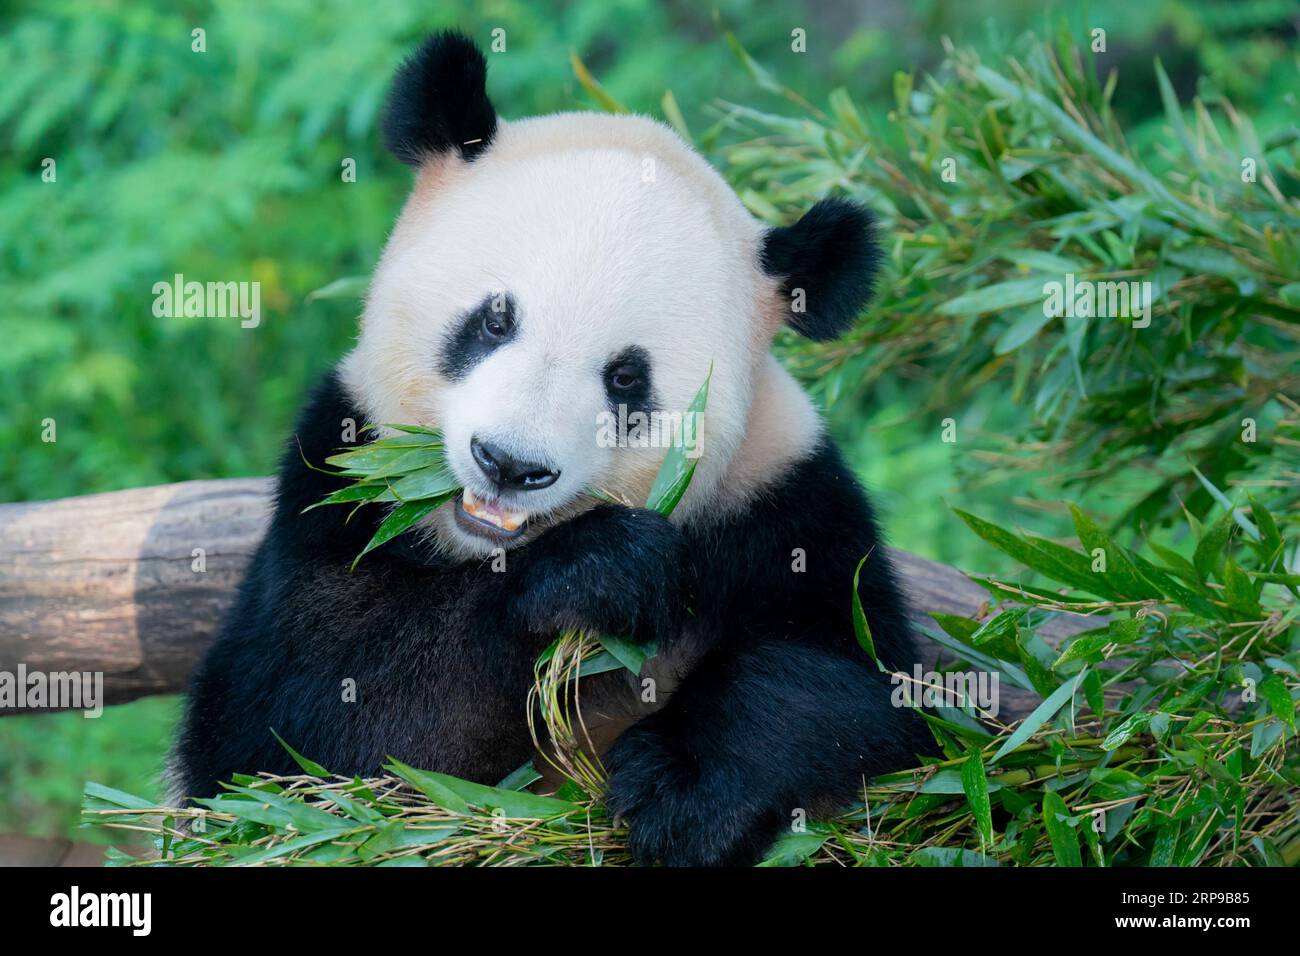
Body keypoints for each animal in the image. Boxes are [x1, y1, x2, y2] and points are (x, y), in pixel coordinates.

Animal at [170, 30, 935, 866]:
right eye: (494, 319)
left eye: (627, 377)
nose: (510, 464)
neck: (481, 548)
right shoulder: (338, 478)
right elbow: (309, 737)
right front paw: (596, 572)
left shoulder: (782, 498)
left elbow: (856, 686)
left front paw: (682, 791)